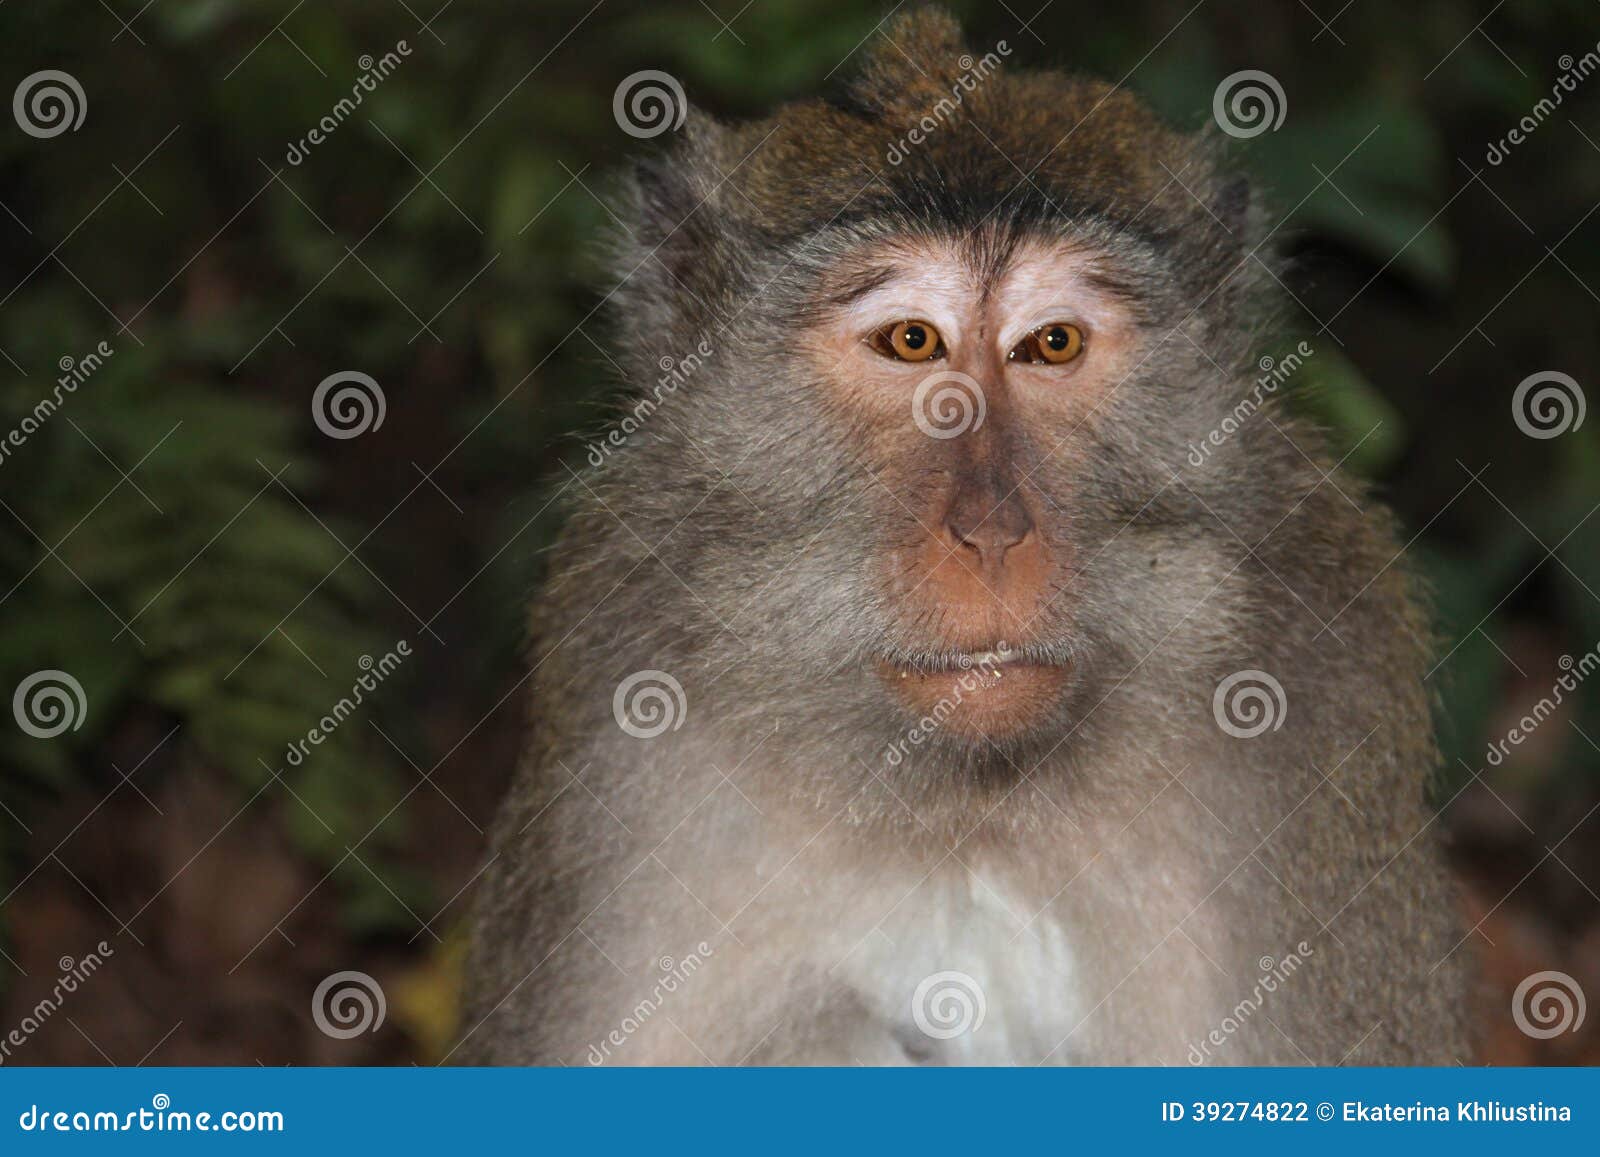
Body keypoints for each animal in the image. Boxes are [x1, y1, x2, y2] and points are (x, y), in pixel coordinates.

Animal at [459, 8, 1474, 1066]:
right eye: (911, 341)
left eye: (1053, 344)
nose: (992, 532)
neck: (969, 806)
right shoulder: (622, 726)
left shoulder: (1326, 688)